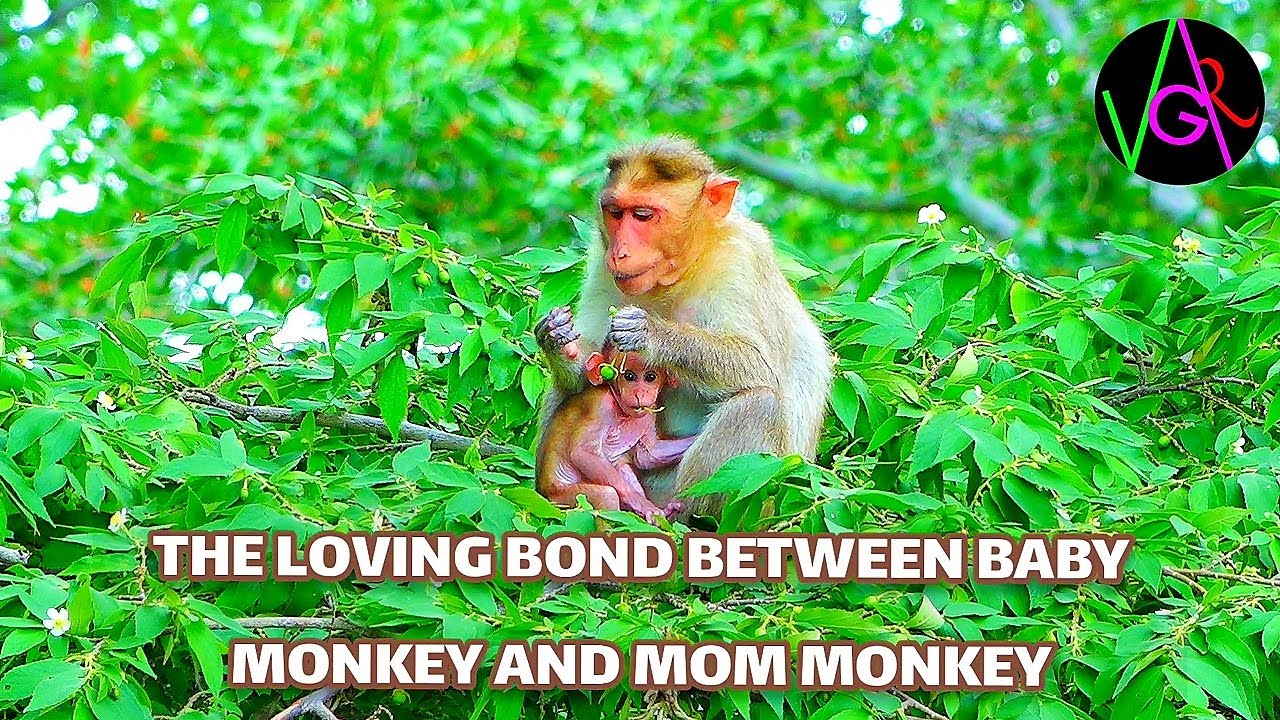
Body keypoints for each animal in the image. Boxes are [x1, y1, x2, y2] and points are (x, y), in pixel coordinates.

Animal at [536, 344, 693, 521]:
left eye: (650, 377)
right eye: (629, 376)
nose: (640, 394)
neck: (621, 410)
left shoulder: (649, 410)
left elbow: (648, 455)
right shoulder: (601, 406)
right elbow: (582, 453)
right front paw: (643, 504)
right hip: (559, 501)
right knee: (607, 494)